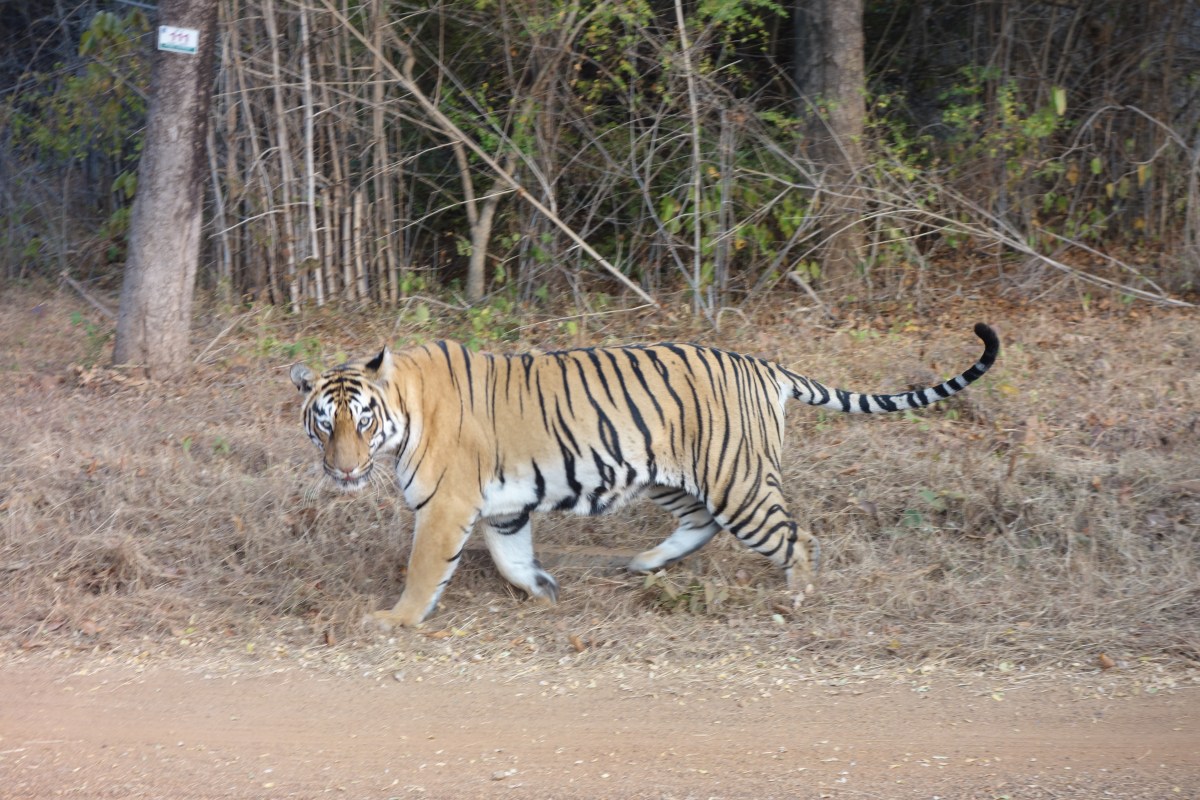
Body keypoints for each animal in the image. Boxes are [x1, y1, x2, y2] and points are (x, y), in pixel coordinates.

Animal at [290, 323, 999, 628]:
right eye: (325, 424)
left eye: (362, 421)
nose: (343, 472)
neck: (404, 408)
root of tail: (764, 365)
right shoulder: (504, 507)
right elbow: (512, 558)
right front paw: (543, 590)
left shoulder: (445, 508)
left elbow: (423, 571)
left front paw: (393, 621)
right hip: (674, 477)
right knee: (701, 526)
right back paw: (644, 563)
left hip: (737, 481)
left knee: (797, 538)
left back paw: (795, 598)